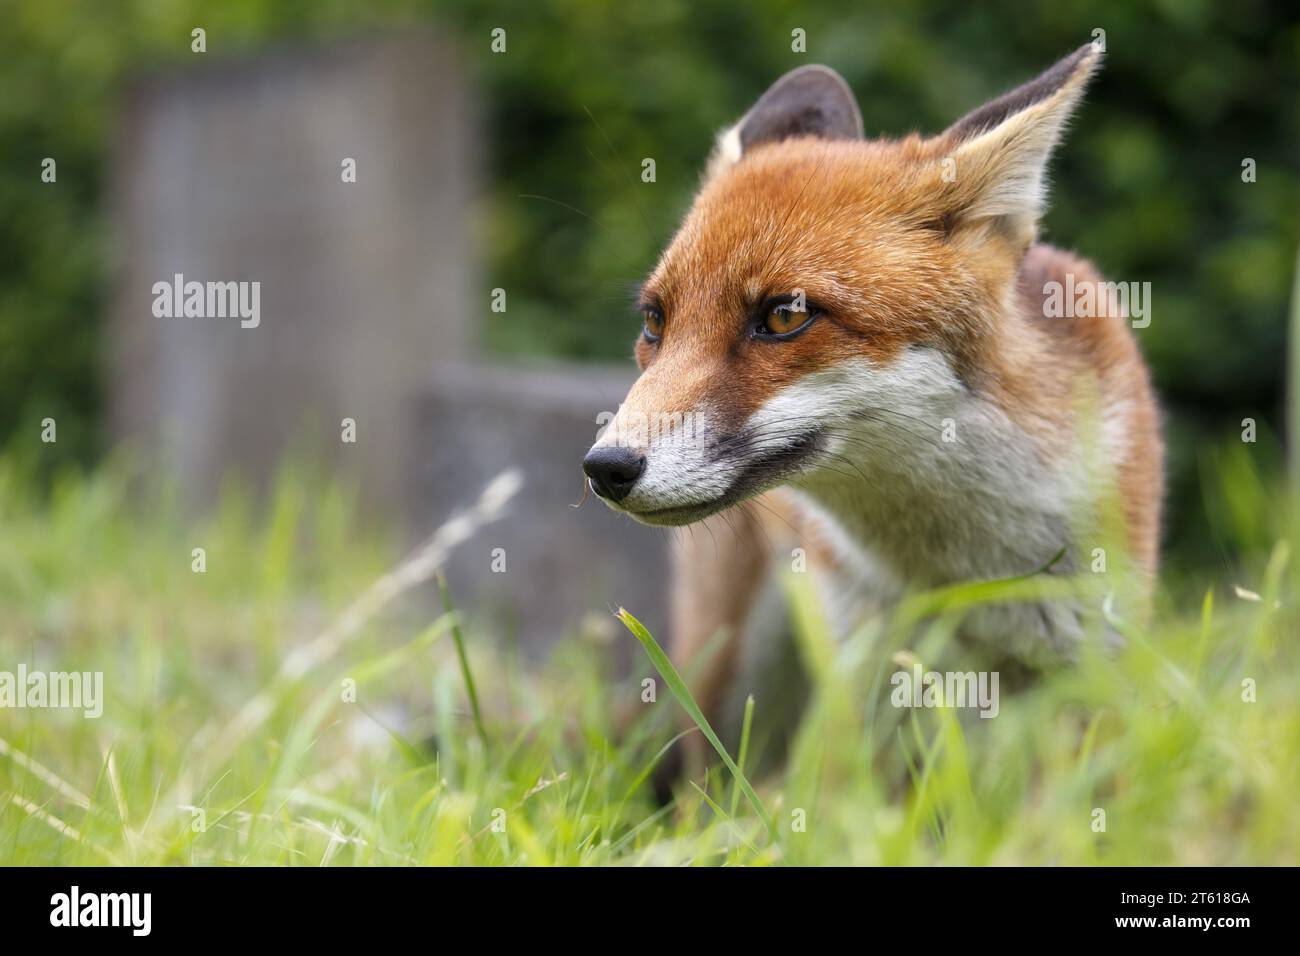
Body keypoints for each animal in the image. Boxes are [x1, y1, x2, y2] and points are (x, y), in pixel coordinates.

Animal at [582, 45, 1163, 781]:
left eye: (785, 316)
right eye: (655, 321)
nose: (606, 467)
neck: (952, 567)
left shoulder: (1094, 665)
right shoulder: (860, 678)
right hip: (727, 667)